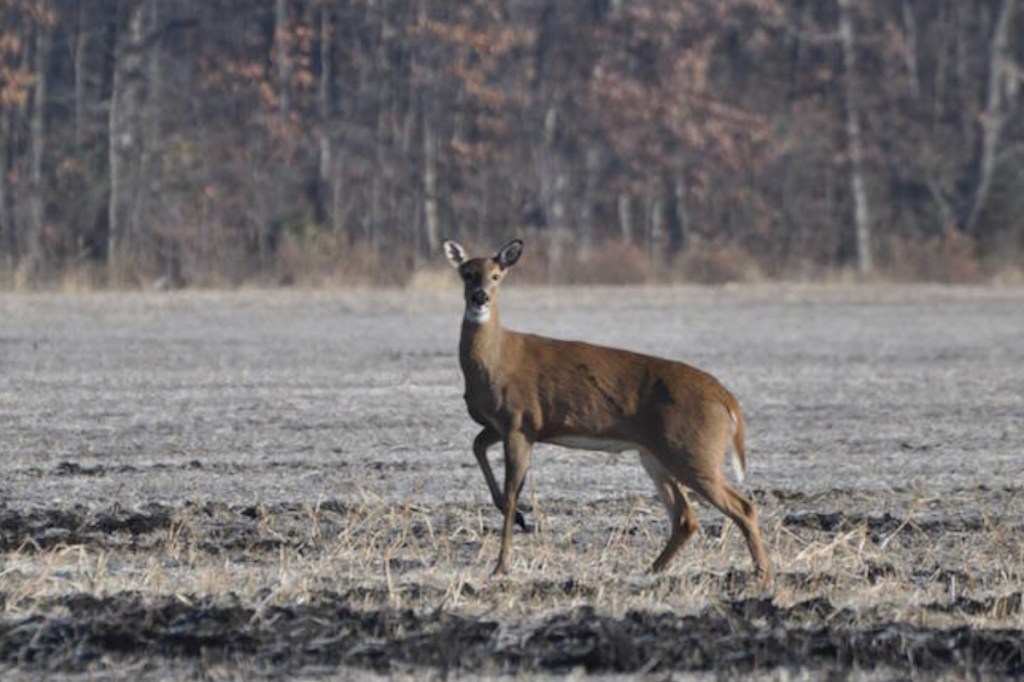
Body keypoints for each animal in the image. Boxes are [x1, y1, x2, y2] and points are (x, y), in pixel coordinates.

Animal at [443, 238, 771, 588]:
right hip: (657, 454)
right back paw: (652, 569)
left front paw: (501, 565)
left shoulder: (520, 421)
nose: (480, 297)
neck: (496, 360)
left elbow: (510, 494)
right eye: (466, 273)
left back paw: (761, 573)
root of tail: (727, 398)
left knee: (743, 506)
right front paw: (518, 522)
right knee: (686, 517)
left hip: (694, 450)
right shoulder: (501, 425)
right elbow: (477, 447)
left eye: (497, 275)